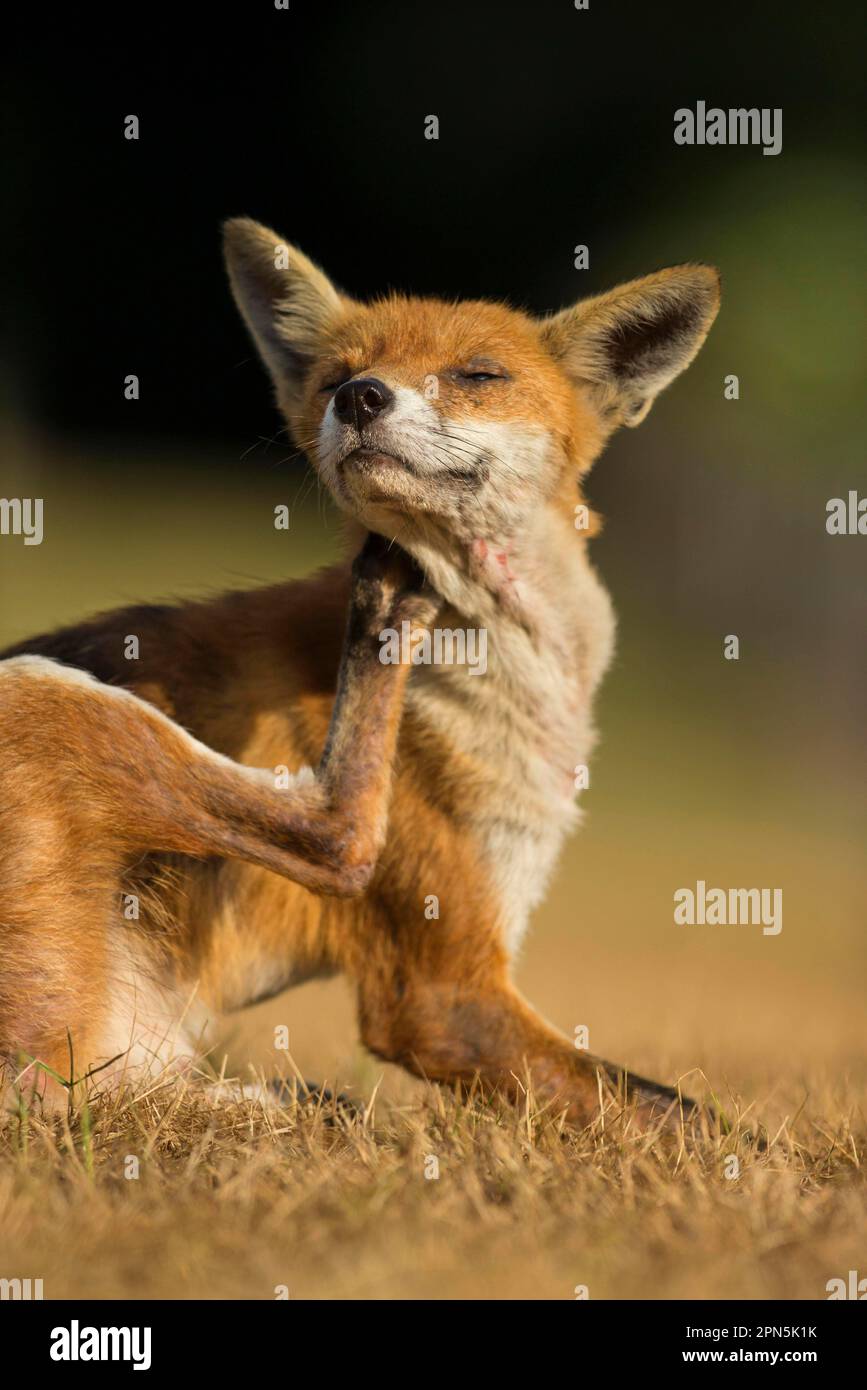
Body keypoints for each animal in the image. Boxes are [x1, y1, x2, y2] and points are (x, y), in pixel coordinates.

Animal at [0, 217, 720, 1127]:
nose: (362, 399)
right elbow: (704, 1121)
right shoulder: (442, 995)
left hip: (140, 1058)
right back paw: (382, 610)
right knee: (336, 833)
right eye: (338, 376)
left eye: (478, 375)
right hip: (43, 692)